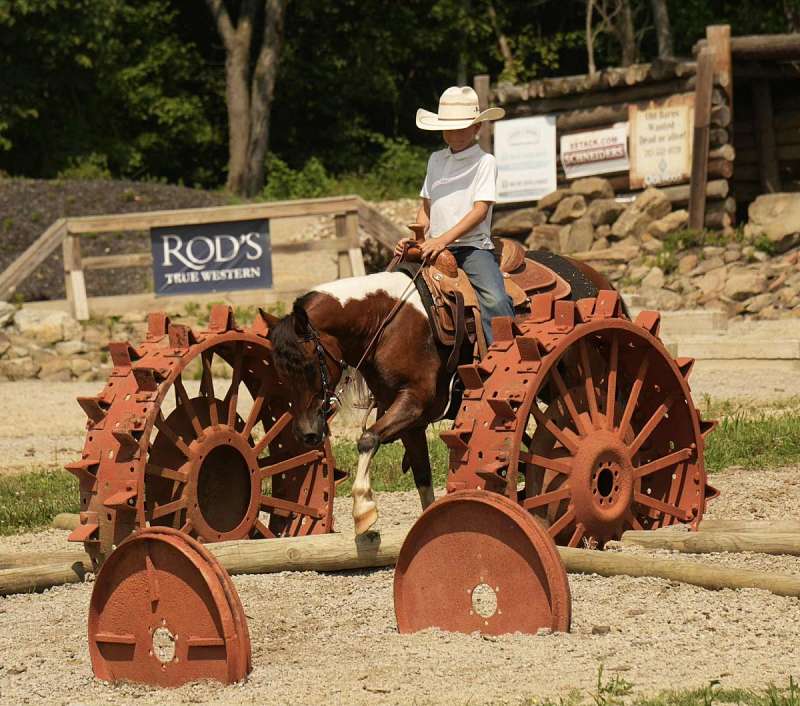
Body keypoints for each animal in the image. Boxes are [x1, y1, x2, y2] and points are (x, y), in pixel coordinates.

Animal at [267, 252, 621, 536]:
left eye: (308, 365)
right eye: (280, 373)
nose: (307, 434)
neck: (386, 321)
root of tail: (595, 278)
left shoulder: (413, 402)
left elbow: (367, 439)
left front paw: (363, 511)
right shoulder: (409, 420)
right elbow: (421, 475)